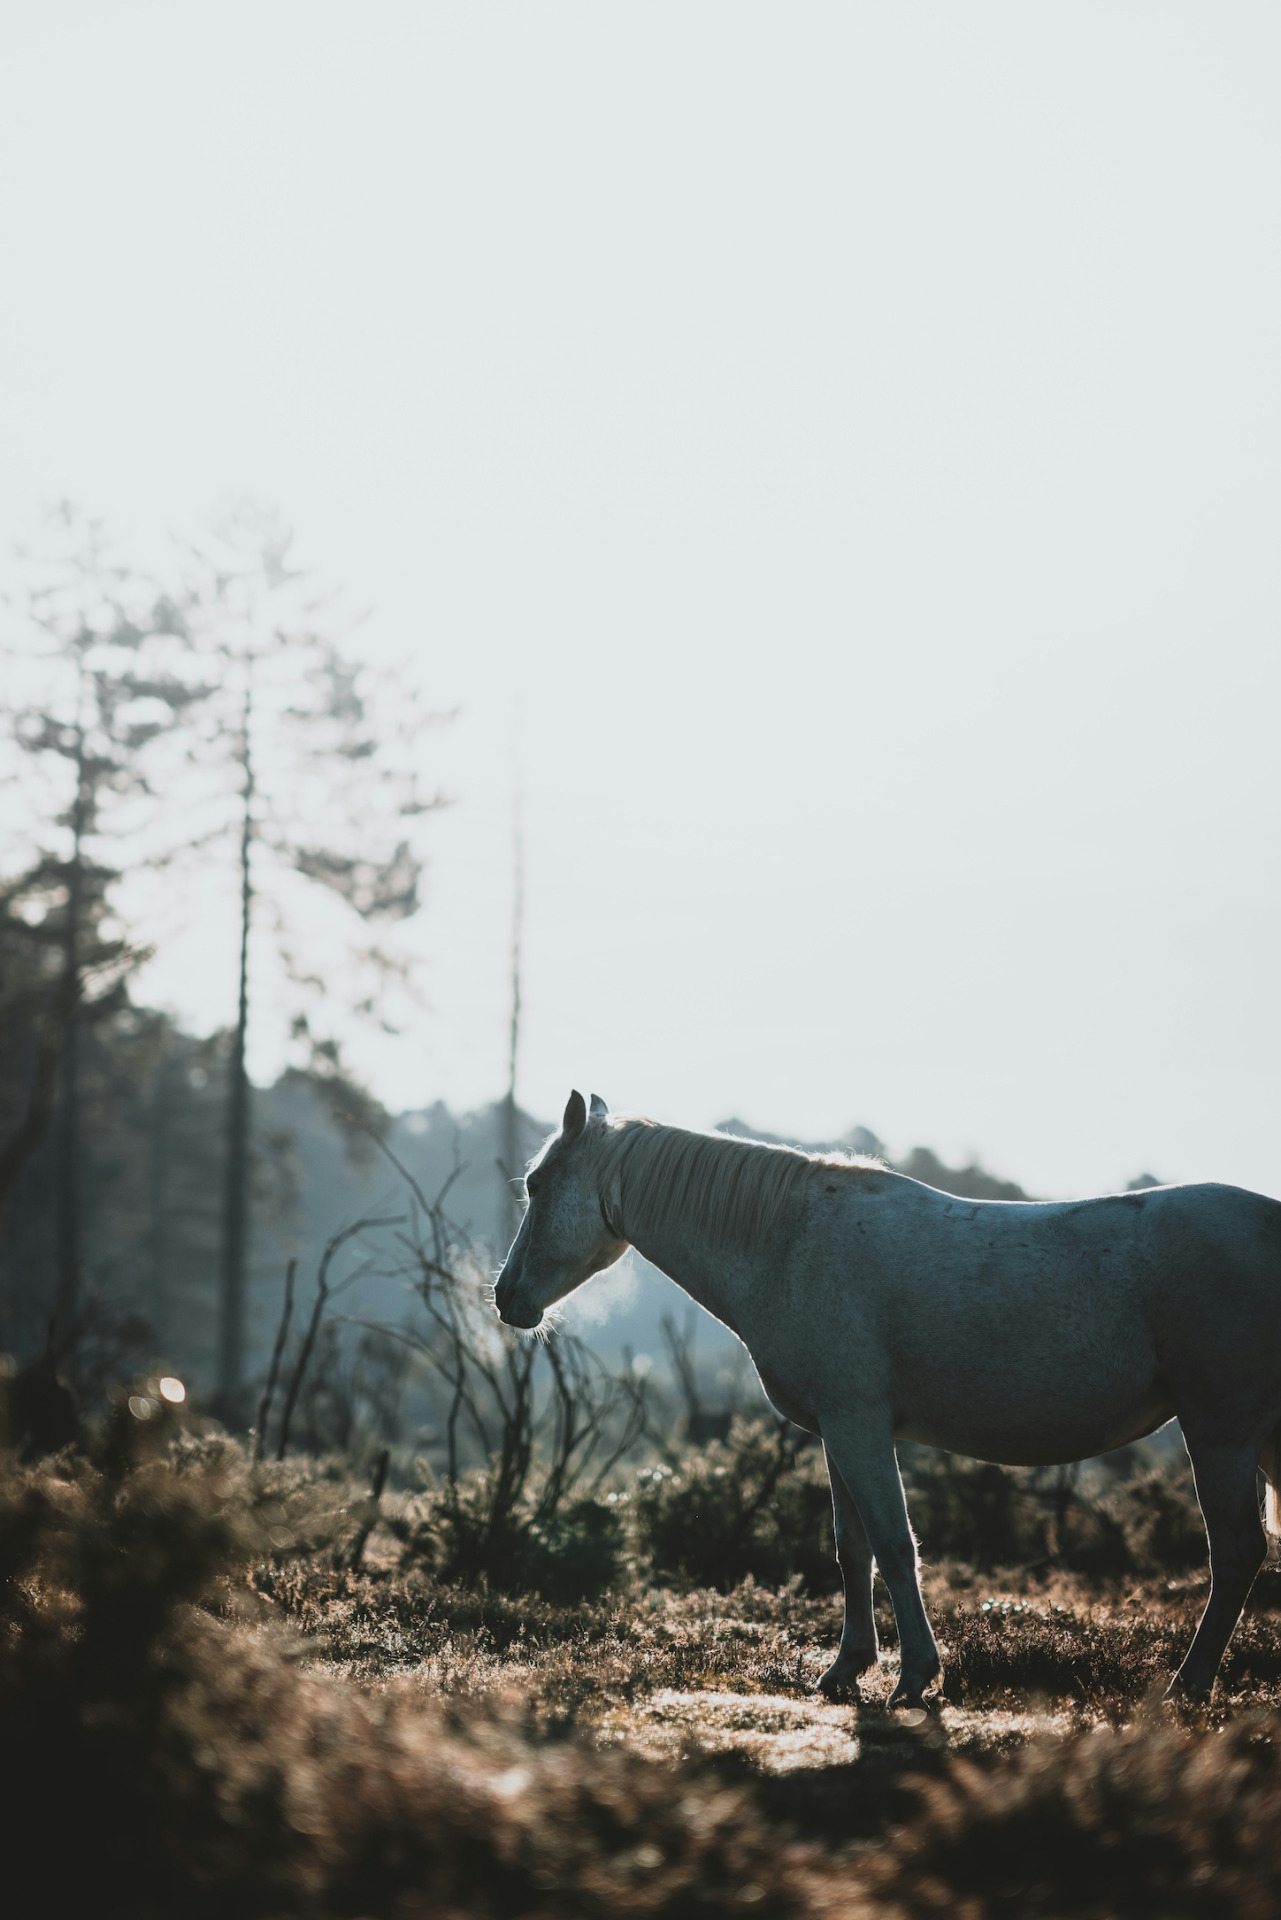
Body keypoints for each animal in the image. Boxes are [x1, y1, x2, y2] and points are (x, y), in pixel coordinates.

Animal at [494, 1091, 1281, 1707]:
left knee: (1237, 1552)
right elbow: (853, 1550)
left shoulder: (859, 1425)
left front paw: (915, 1678)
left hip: (1221, 1432)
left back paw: (1187, 1685)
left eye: (537, 1184)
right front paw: (846, 1670)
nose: (506, 1298)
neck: (789, 1241)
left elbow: (895, 1544)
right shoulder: (837, 1432)